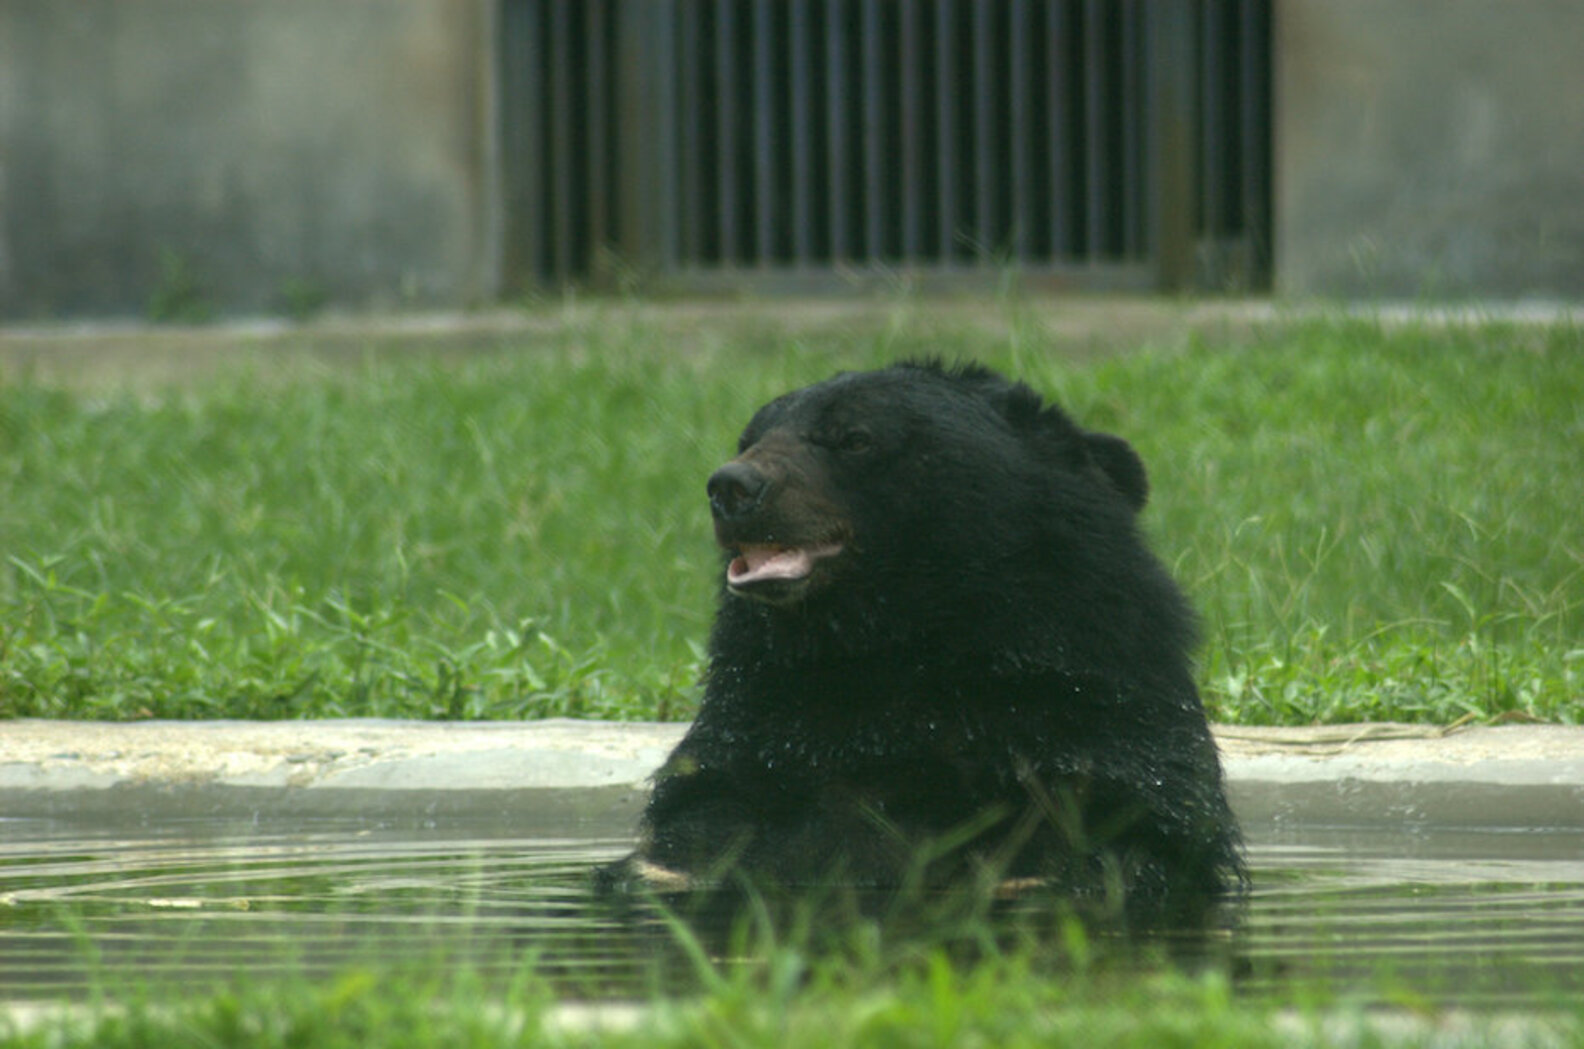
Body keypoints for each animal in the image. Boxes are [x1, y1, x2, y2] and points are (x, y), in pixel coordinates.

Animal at [600, 360, 1243, 924]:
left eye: (853, 437)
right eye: (750, 435)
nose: (732, 486)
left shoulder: (1090, 724)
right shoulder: (755, 737)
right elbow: (706, 836)